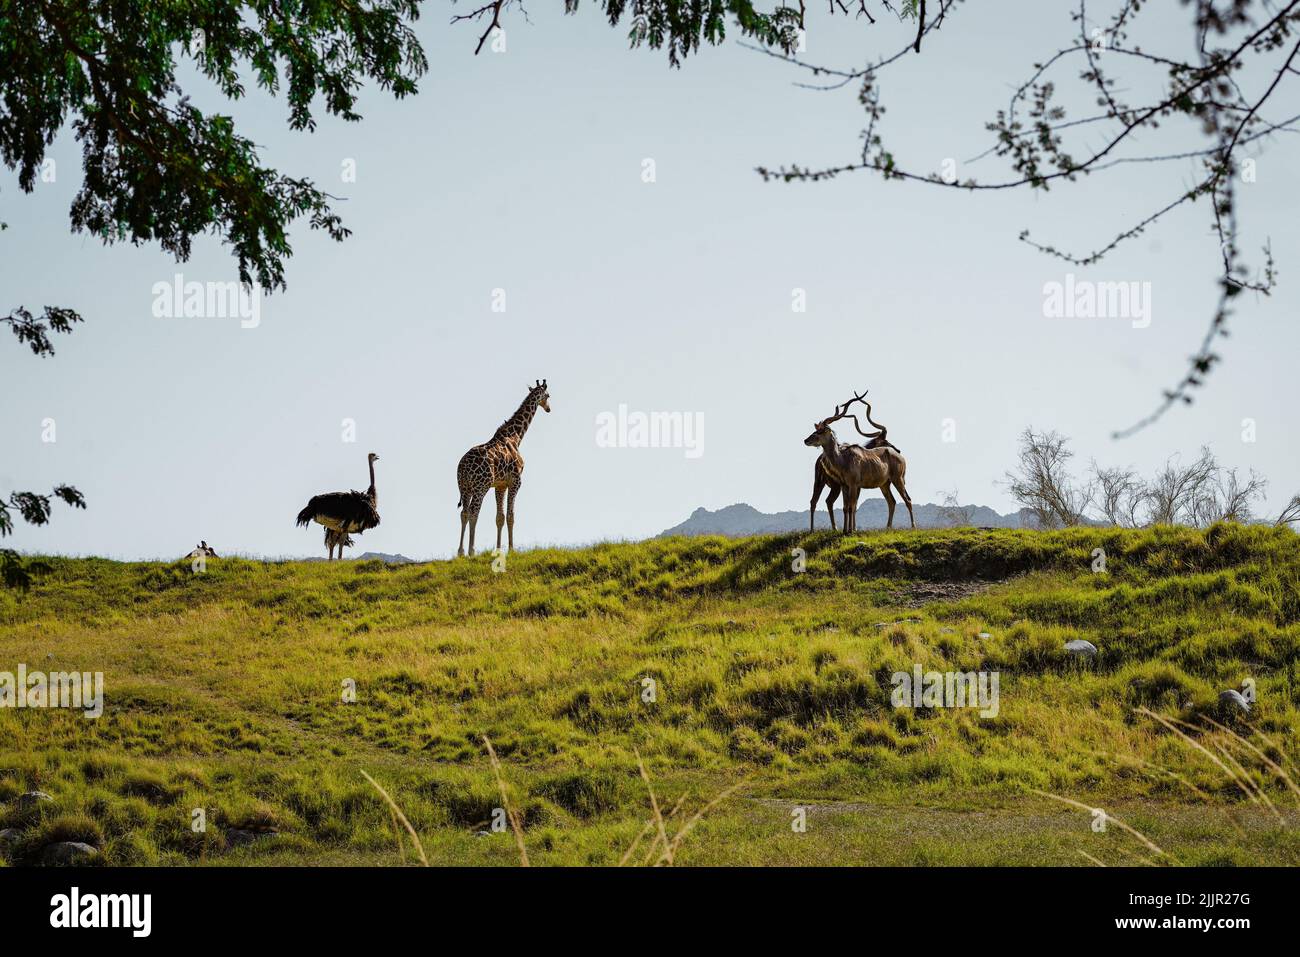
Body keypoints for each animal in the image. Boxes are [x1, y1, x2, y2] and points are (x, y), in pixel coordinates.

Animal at [456, 380, 551, 557]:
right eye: (548, 395)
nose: (549, 408)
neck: (516, 436)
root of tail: (462, 467)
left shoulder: (500, 485)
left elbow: (499, 517)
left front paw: (499, 550)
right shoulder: (516, 481)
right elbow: (510, 515)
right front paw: (512, 549)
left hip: (465, 487)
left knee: (464, 513)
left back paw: (460, 552)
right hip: (480, 486)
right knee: (473, 512)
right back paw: (472, 550)